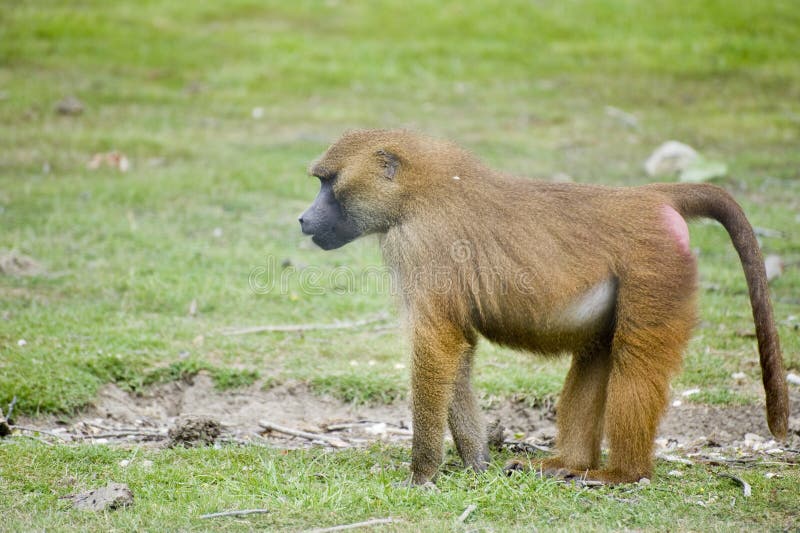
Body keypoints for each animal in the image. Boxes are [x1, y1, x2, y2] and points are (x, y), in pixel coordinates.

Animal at [298, 129, 789, 485]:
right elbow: (458, 350)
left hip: (655, 271)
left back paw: (622, 474)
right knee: (598, 353)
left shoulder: (419, 245)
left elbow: (438, 345)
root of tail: (649, 197)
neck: (419, 192)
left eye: (328, 182)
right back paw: (567, 464)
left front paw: (421, 475)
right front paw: (477, 463)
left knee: (635, 362)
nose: (303, 219)